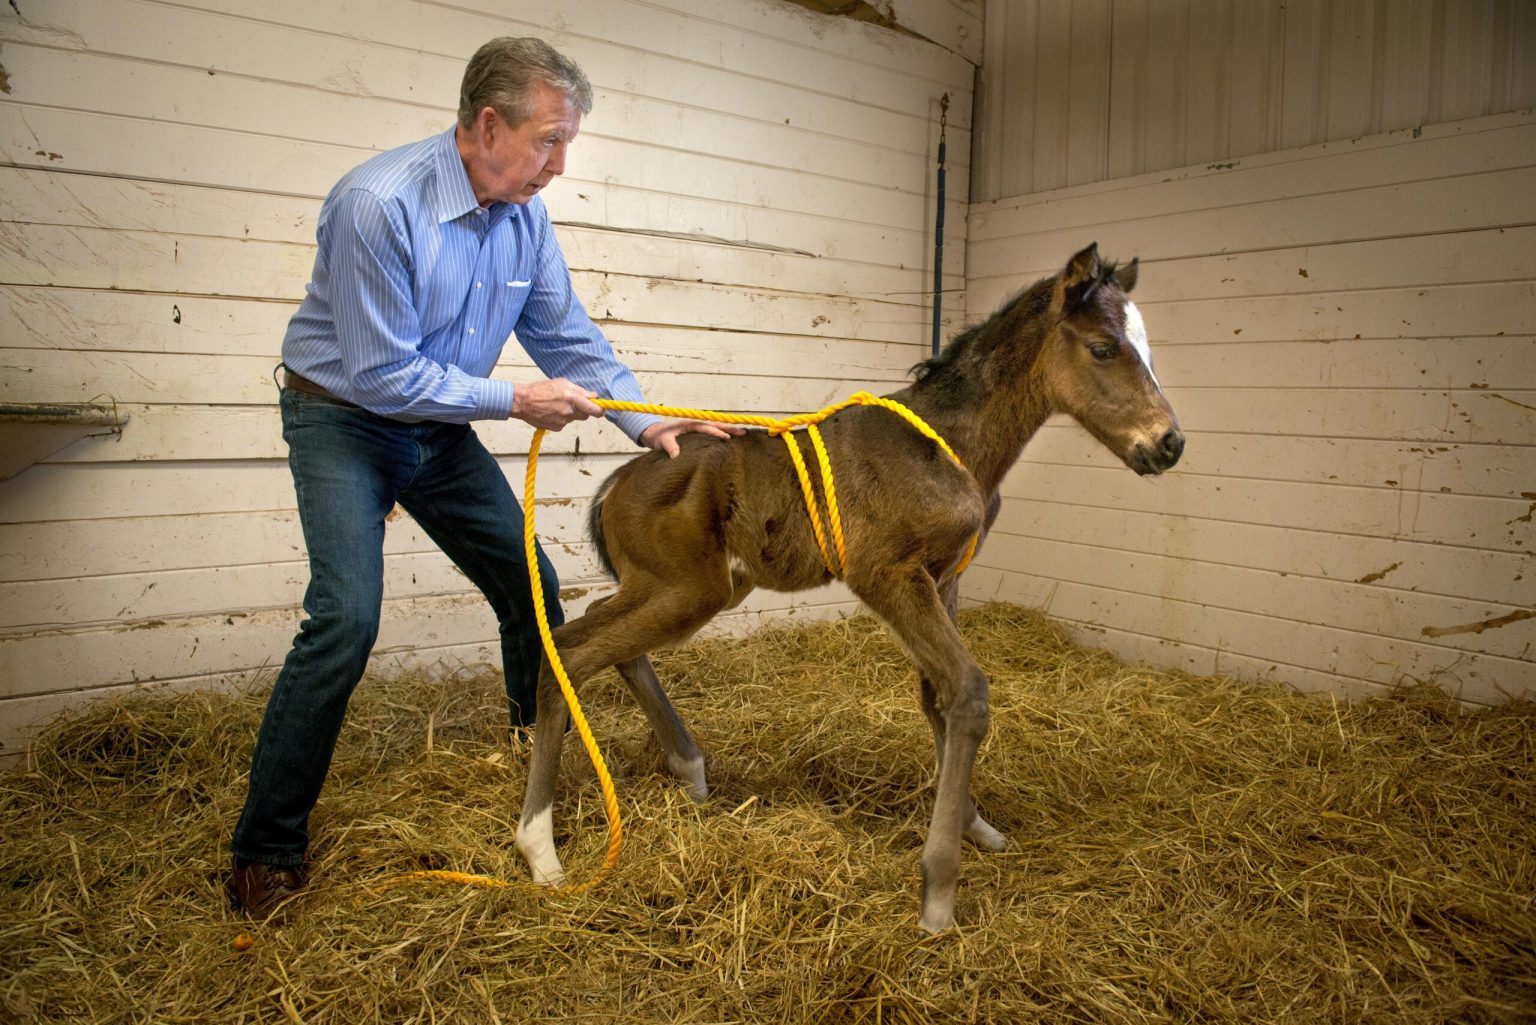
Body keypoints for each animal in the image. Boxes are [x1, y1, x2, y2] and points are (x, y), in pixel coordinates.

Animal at [515, 242, 1184, 932]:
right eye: (1103, 347)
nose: (1169, 444)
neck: (946, 447)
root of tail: (614, 487)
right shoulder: (888, 575)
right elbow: (968, 692)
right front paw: (938, 891)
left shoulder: (943, 578)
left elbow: (937, 695)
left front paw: (974, 825)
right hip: (684, 590)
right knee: (569, 649)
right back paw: (541, 849)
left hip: (693, 588)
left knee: (604, 634)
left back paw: (689, 770)